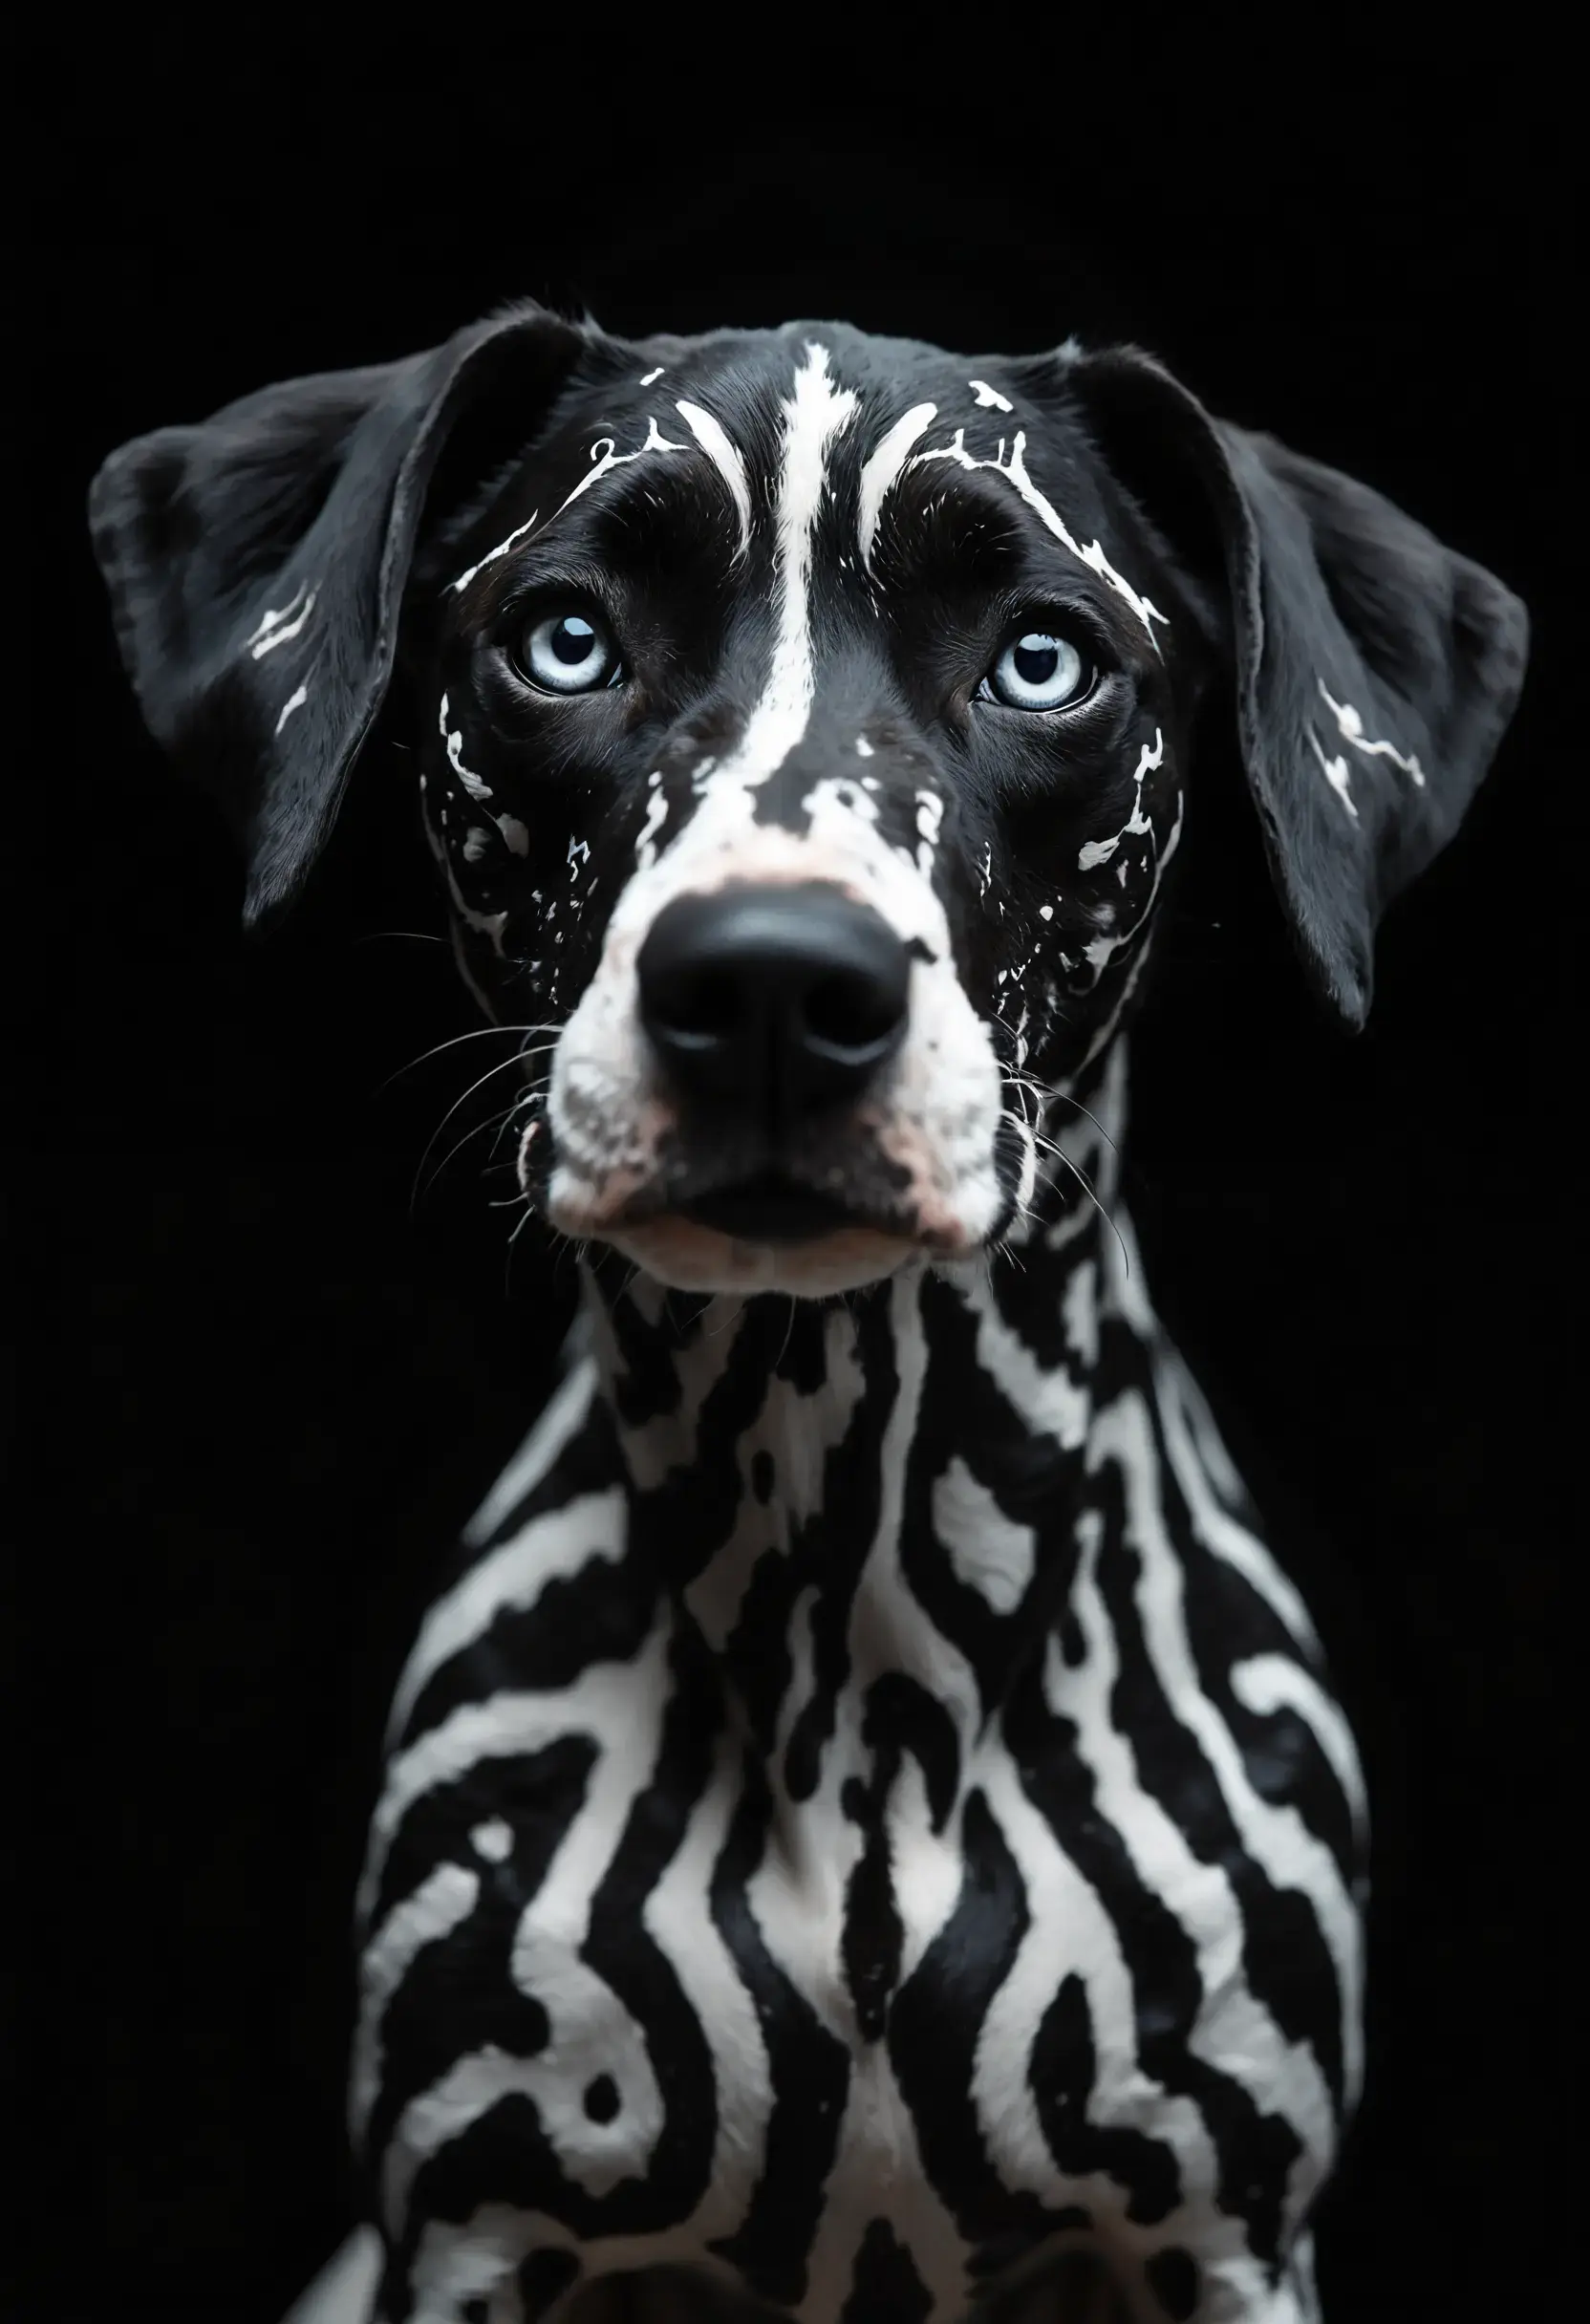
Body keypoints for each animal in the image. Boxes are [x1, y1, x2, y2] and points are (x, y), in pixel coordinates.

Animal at [90, 309, 1524, 2324]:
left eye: (1040, 658)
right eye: (564, 637)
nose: (771, 980)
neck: (838, 1615)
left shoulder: (1222, 2243)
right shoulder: (465, 2237)